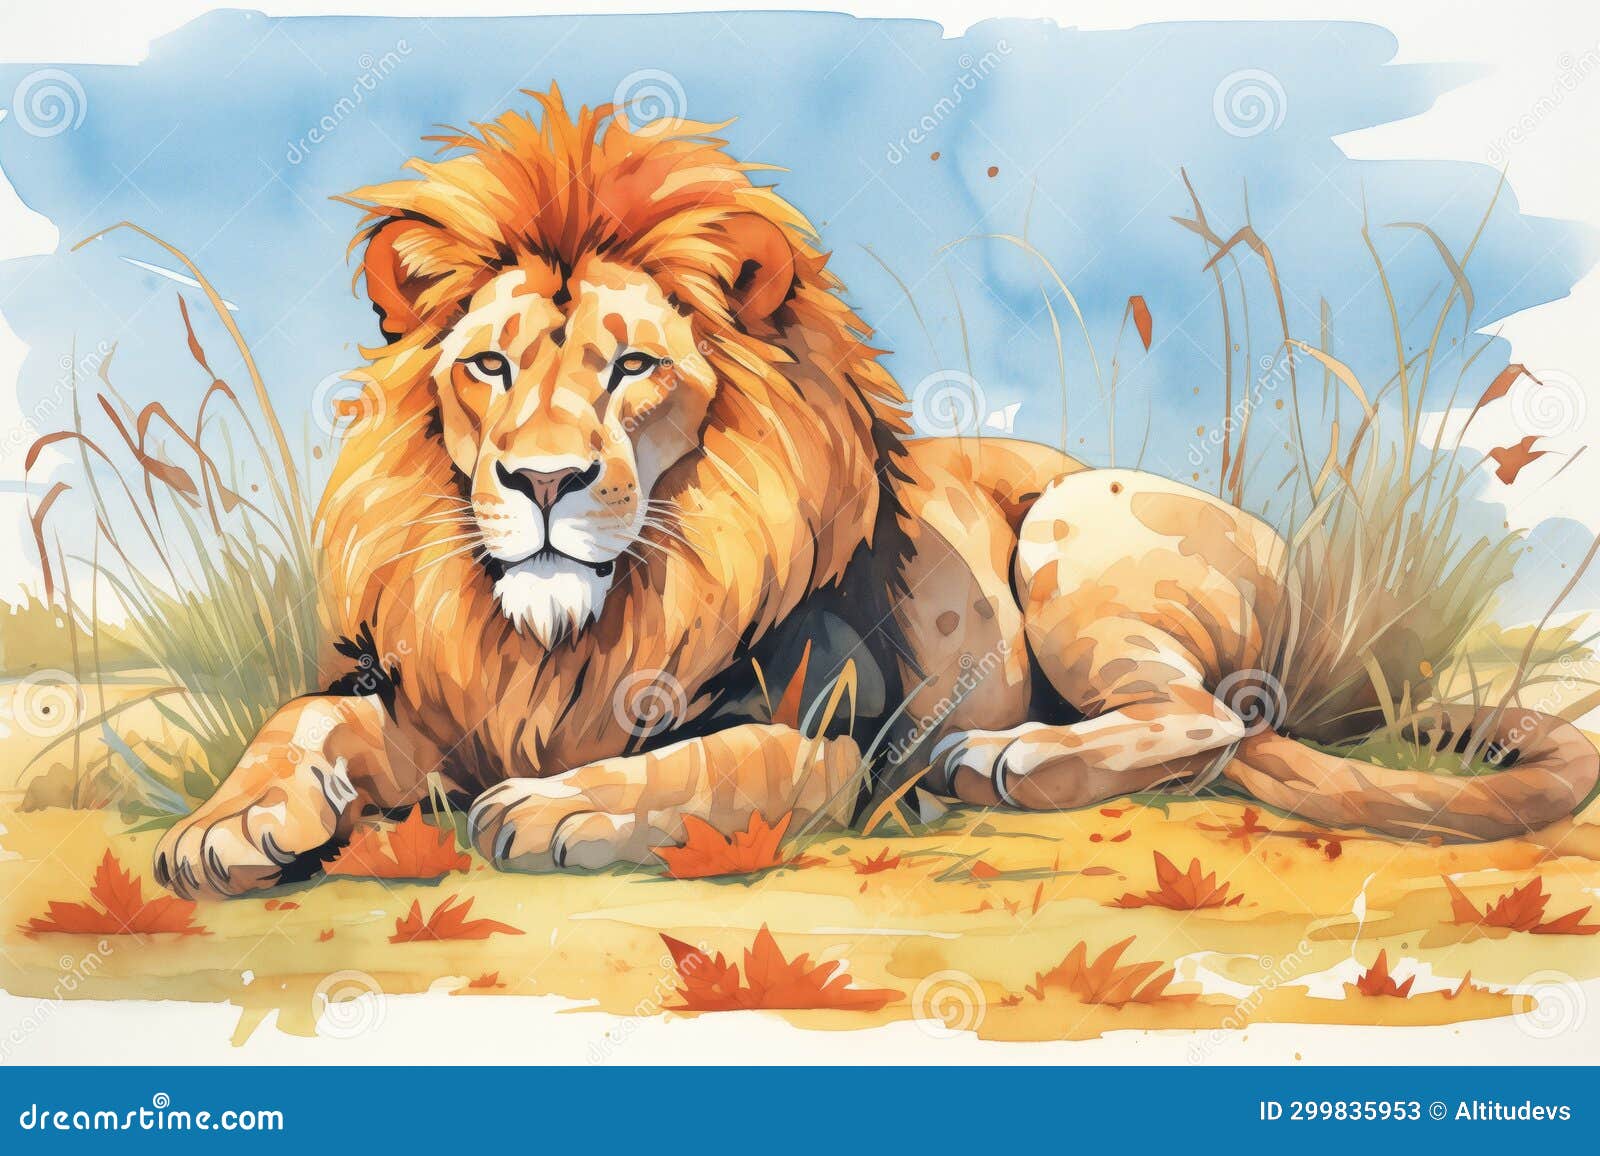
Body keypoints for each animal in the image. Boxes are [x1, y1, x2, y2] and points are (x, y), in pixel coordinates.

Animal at [154, 86, 1598, 898]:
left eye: (633, 367)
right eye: (489, 368)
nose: (545, 479)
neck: (581, 625)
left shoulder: (827, 727)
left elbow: (703, 766)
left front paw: (560, 808)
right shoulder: (421, 692)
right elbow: (295, 718)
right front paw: (229, 827)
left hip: (1073, 527)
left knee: (1207, 723)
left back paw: (1006, 761)